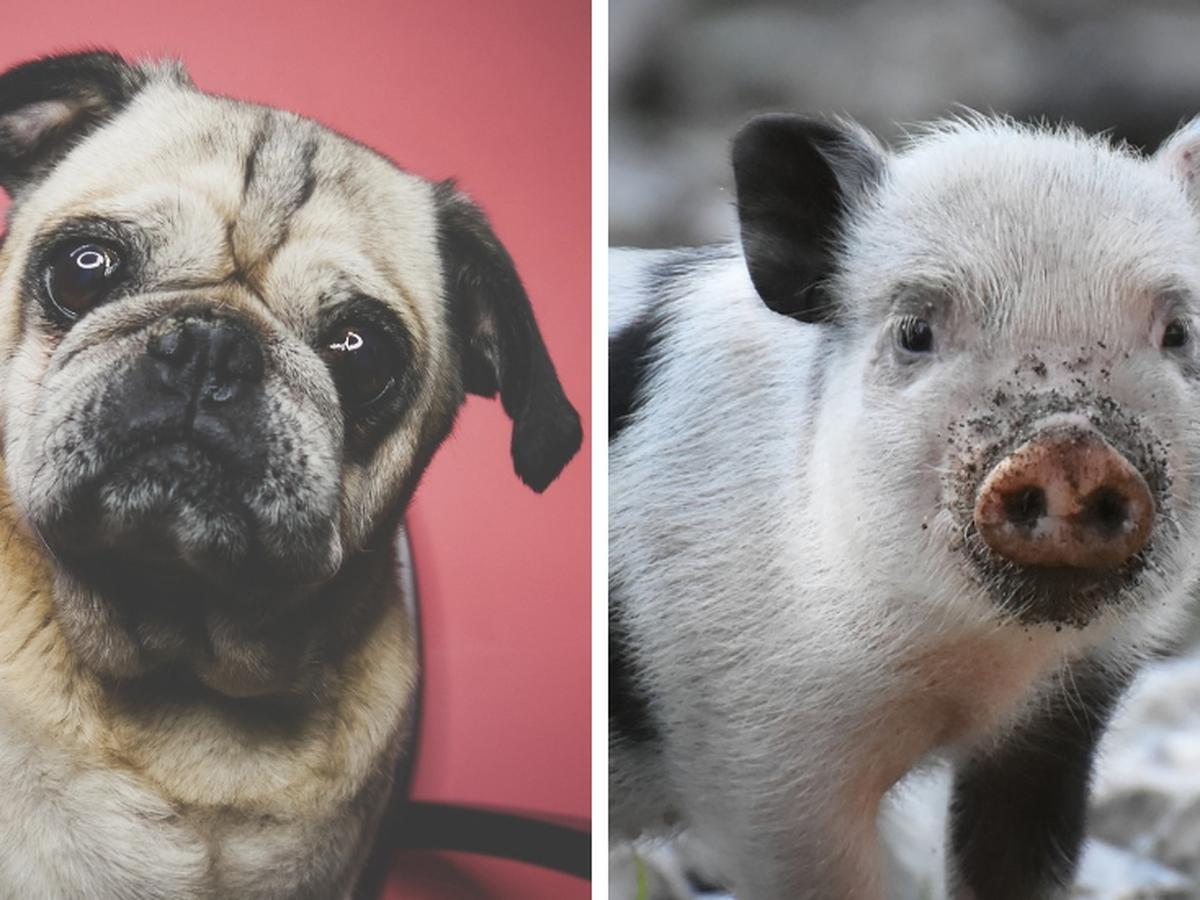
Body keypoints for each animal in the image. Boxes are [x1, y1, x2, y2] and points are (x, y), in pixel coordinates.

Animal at [608, 113, 1200, 900]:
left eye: (1179, 334)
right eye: (915, 331)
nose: (1069, 443)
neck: (970, 663)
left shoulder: (1067, 710)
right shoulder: (755, 752)